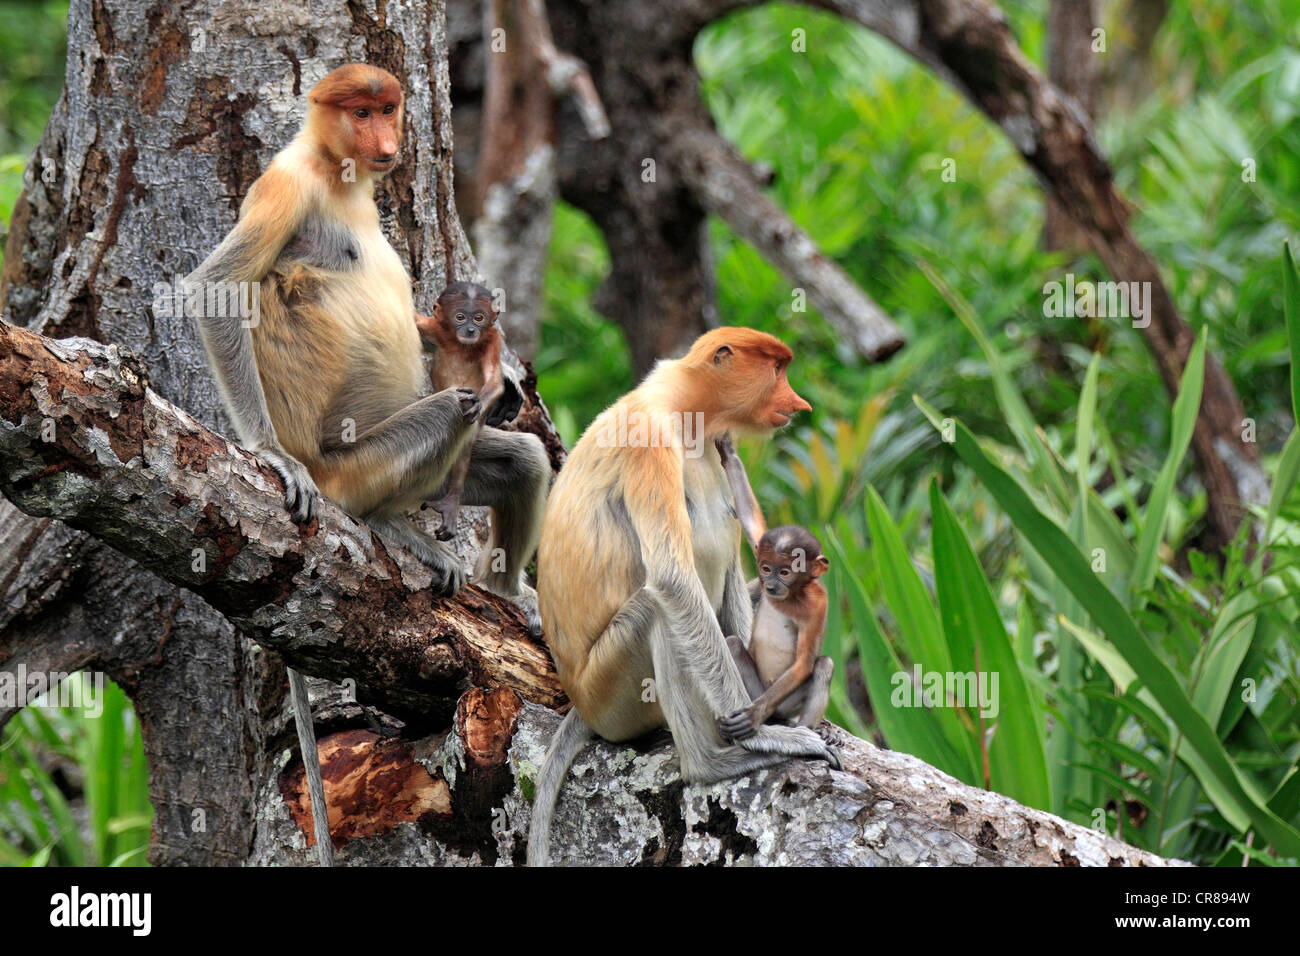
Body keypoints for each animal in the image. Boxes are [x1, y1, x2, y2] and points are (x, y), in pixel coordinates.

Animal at [415, 282, 504, 541]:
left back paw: (450, 500)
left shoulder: (493, 340)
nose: (471, 329)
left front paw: (478, 402)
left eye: (479, 317)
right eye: (460, 317)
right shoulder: (434, 327)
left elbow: (495, 382)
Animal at [712, 435, 834, 741]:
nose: (770, 584)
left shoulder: (819, 603)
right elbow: (749, 517)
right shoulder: (762, 545)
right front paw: (728, 451)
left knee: (823, 665)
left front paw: (754, 717)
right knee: (733, 644)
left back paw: (805, 731)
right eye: (766, 568)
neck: (791, 597)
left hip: (784, 702)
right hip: (756, 689)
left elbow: (804, 662)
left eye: (785, 572)